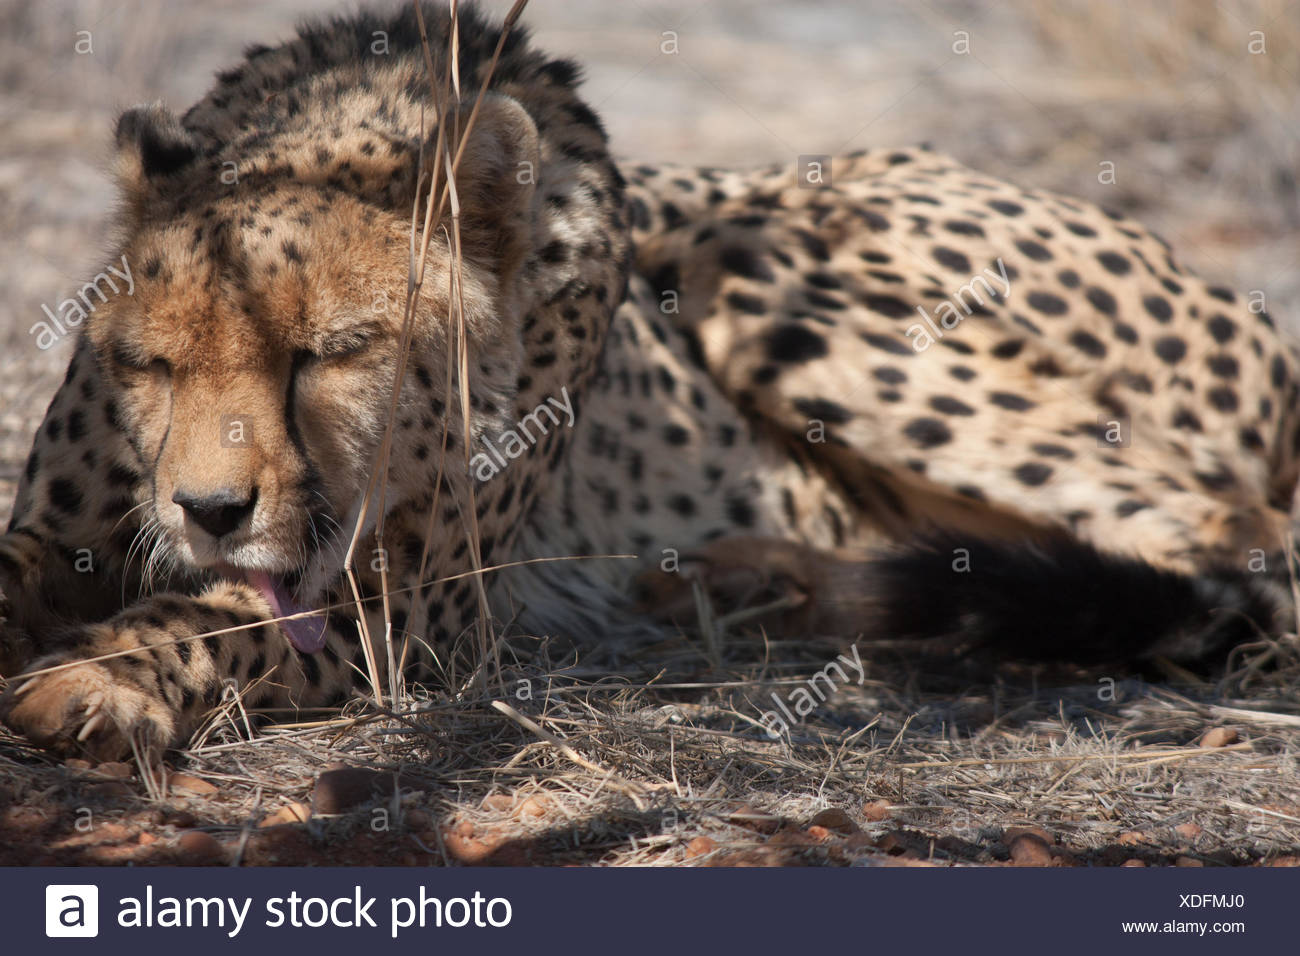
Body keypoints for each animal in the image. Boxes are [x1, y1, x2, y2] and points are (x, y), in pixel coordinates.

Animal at [1, 2, 1296, 762]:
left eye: (333, 350)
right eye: (152, 361)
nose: (212, 511)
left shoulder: (419, 610)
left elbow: (223, 621)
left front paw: (99, 675)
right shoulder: (68, 532)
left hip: (757, 256)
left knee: (1234, 544)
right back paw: (747, 578)